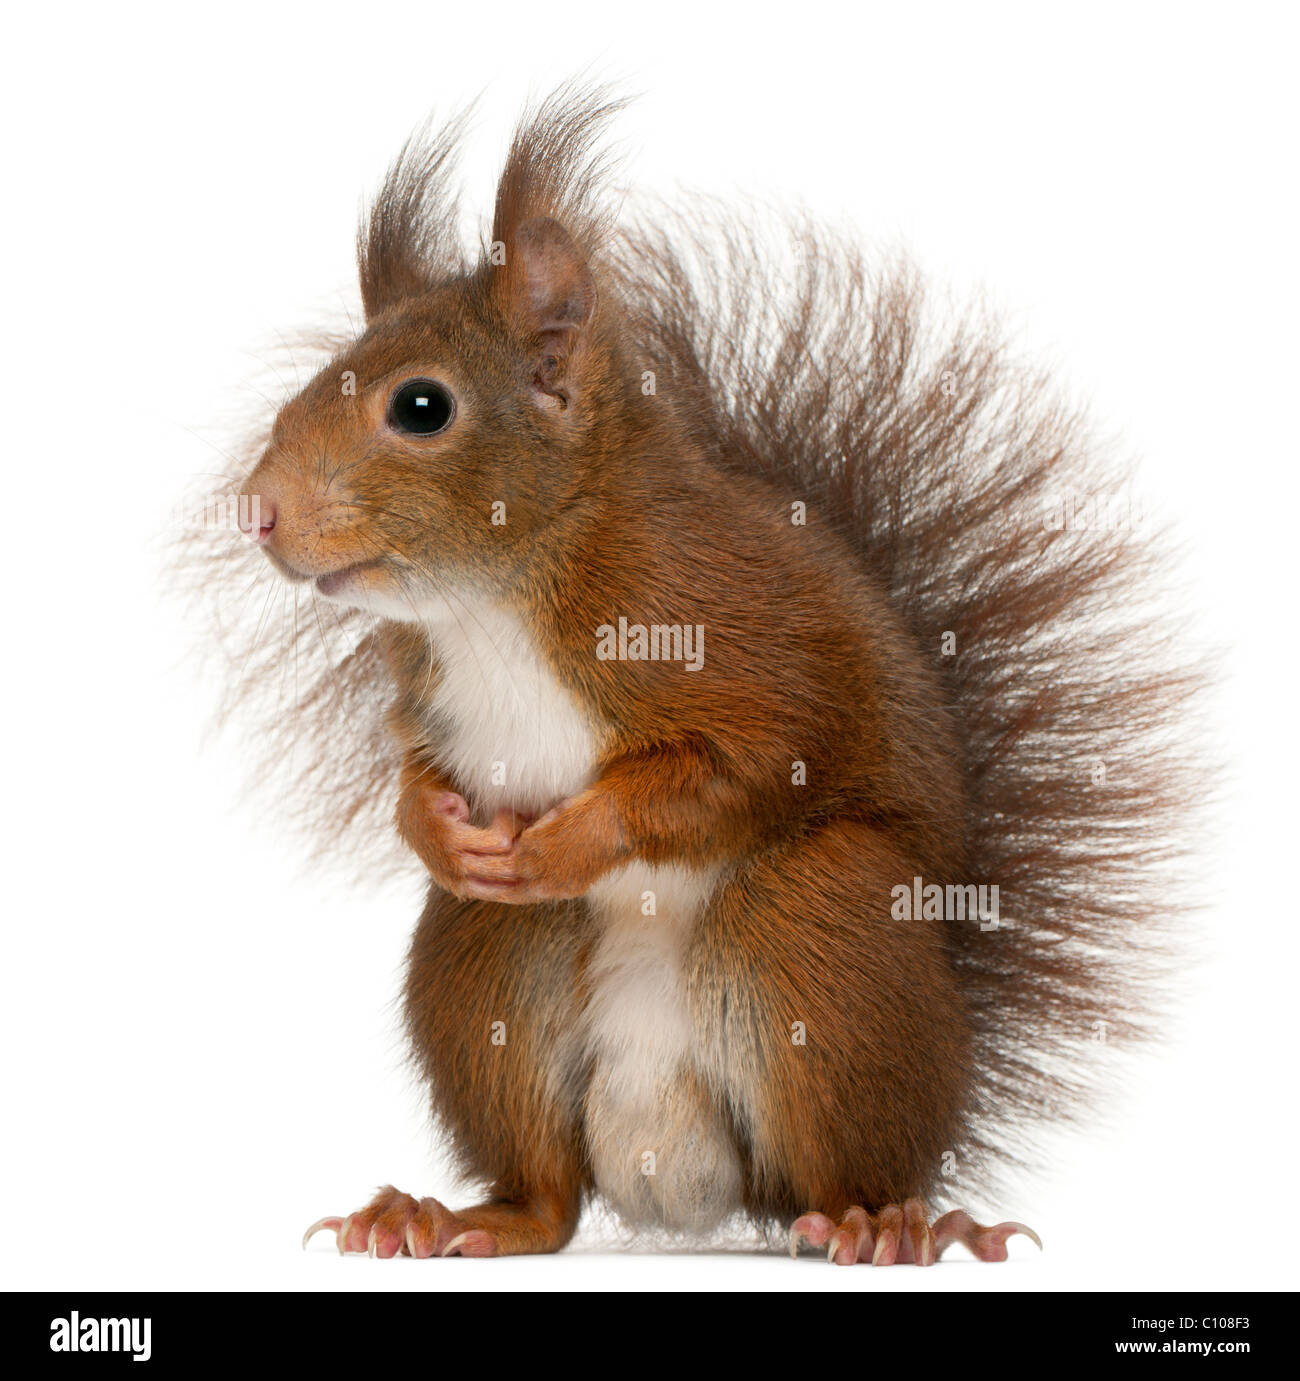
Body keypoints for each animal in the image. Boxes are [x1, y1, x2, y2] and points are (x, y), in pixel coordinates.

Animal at [188, 85, 1201, 1264]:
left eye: (421, 407)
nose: (258, 511)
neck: (500, 591)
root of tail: (679, 1182)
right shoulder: (422, 690)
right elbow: (414, 771)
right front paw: (438, 831)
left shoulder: (735, 646)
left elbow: (739, 768)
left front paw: (571, 839)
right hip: (489, 960)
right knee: (549, 1192)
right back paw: (447, 1214)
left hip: (816, 923)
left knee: (837, 1148)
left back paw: (886, 1223)